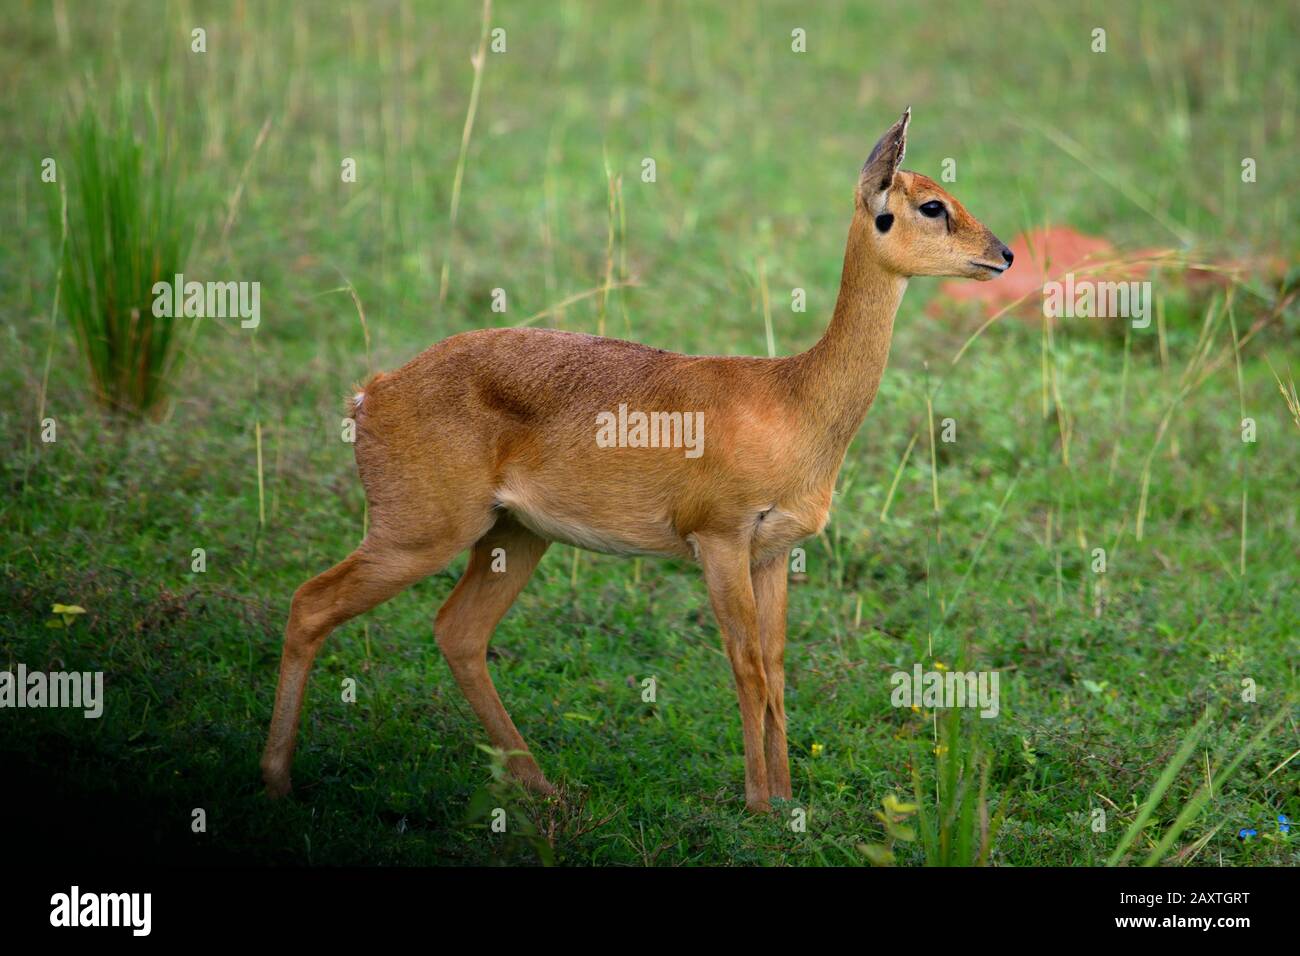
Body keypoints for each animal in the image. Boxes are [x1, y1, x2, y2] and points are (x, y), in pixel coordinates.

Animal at [260, 109, 1012, 812]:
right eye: (931, 204)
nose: (1004, 254)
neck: (795, 397)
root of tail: (374, 390)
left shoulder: (771, 553)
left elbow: (775, 668)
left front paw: (787, 798)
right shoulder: (719, 540)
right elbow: (746, 668)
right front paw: (760, 805)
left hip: (513, 536)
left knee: (458, 633)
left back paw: (544, 787)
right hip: (419, 534)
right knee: (309, 603)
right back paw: (276, 781)